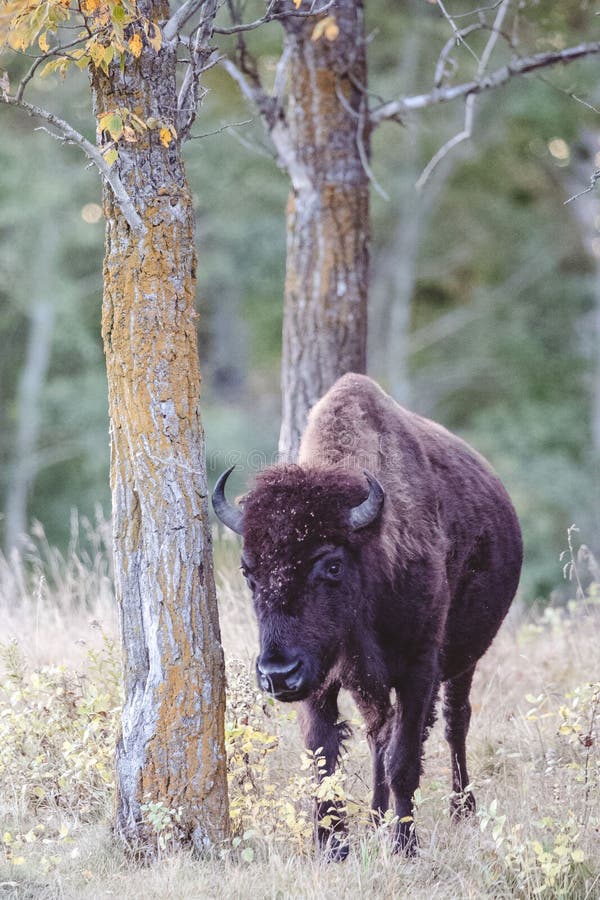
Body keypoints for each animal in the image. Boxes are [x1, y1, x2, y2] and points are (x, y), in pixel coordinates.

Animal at [213, 373, 522, 858]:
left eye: (332, 565)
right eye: (248, 571)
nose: (278, 674)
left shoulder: (418, 669)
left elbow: (404, 759)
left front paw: (404, 845)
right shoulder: (322, 680)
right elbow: (324, 757)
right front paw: (331, 845)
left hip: (464, 660)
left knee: (455, 722)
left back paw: (461, 809)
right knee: (380, 732)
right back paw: (376, 818)